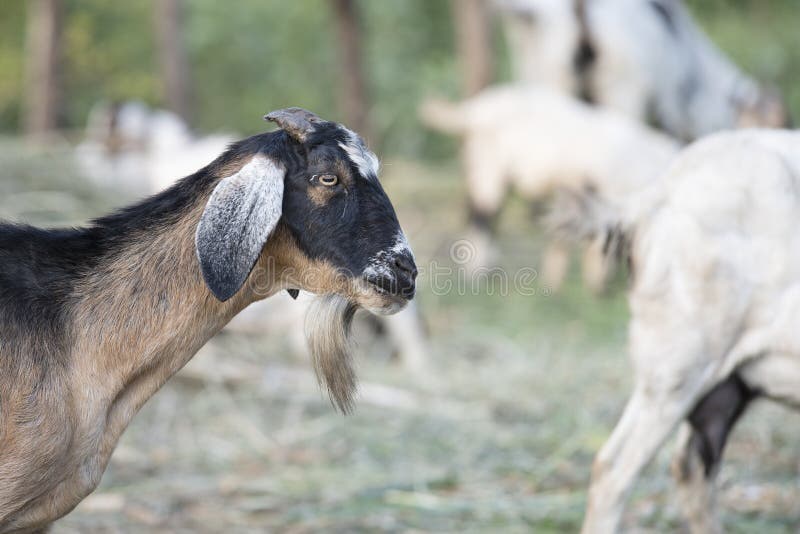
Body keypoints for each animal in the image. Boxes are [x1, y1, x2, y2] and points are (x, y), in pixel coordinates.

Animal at [420, 84, 679, 293]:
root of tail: (472, 111)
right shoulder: (594, 188)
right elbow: (589, 241)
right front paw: (587, 288)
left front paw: (554, 283)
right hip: (489, 161)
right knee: (483, 214)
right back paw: (477, 274)